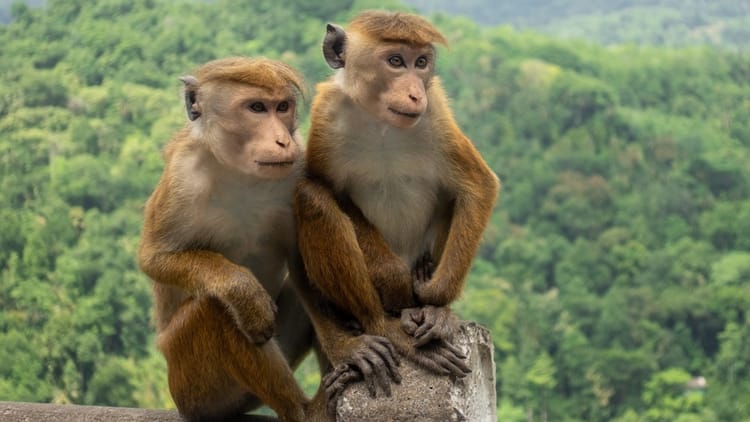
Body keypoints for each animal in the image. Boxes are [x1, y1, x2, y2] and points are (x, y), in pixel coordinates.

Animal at [138, 57, 324, 422]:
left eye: (282, 107)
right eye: (256, 108)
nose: (283, 140)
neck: (240, 173)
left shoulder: (296, 166)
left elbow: (307, 264)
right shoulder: (182, 178)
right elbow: (155, 257)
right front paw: (243, 292)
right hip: (189, 382)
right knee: (213, 307)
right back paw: (299, 409)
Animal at [294, 10, 501, 405]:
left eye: (421, 63)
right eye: (394, 61)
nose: (414, 91)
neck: (381, 123)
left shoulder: (436, 114)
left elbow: (478, 186)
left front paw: (435, 300)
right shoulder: (326, 117)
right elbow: (329, 191)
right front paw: (394, 279)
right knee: (310, 197)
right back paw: (382, 324)